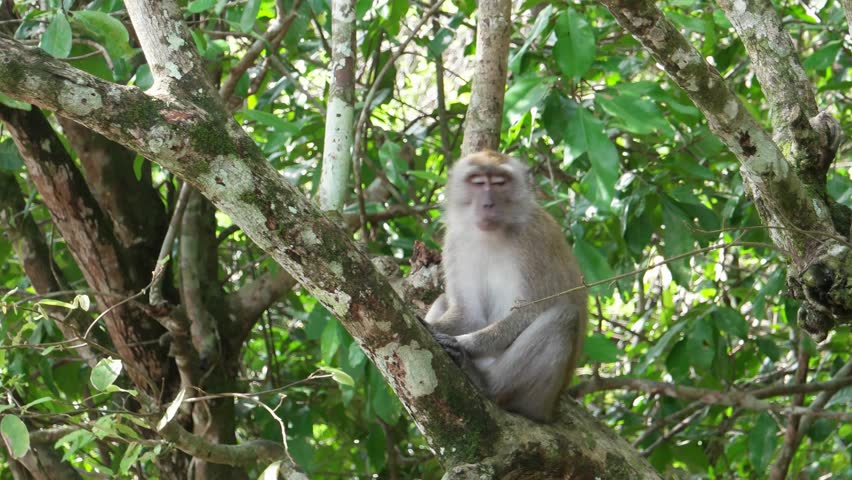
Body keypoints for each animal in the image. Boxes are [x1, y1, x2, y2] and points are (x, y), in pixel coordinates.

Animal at [423, 150, 587, 422]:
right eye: (478, 181)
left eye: (500, 182)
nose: (488, 204)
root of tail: (551, 408)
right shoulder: (456, 240)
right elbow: (468, 313)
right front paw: (432, 327)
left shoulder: (533, 239)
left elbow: (531, 310)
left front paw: (461, 344)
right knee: (445, 299)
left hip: (537, 401)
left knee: (565, 317)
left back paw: (486, 384)